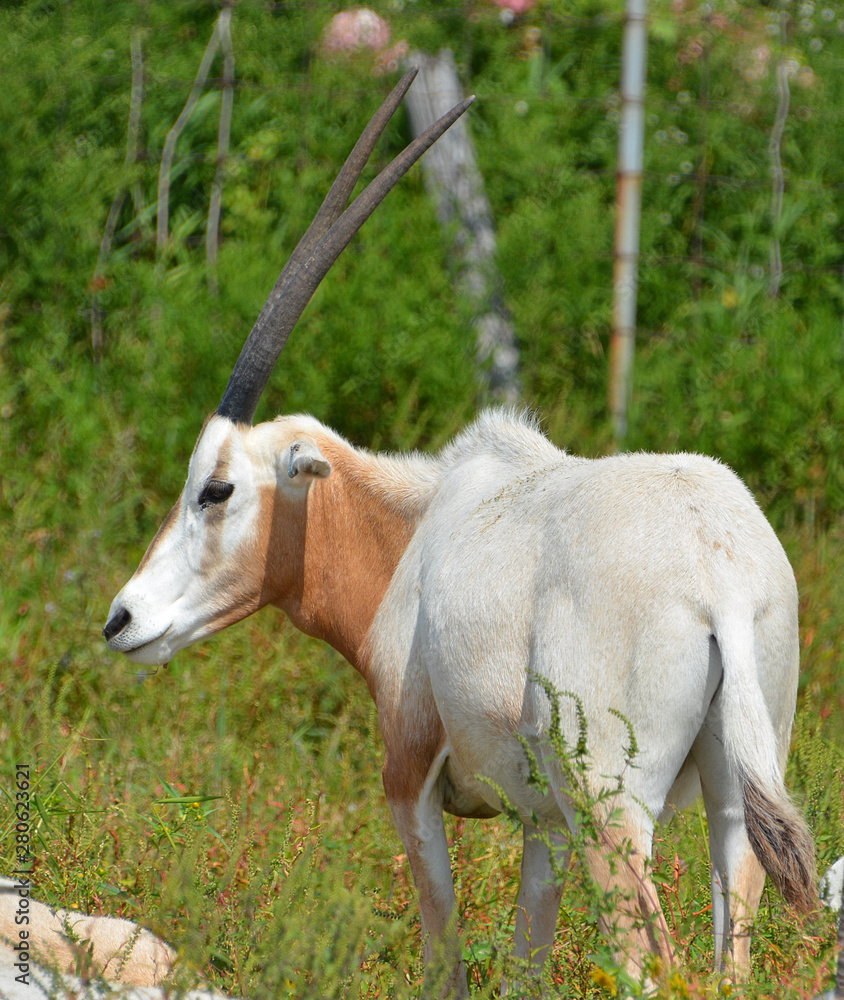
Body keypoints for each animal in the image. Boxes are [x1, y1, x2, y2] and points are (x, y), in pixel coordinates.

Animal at [104, 71, 817, 995]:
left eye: (216, 488)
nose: (122, 619)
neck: (415, 530)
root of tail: (718, 572)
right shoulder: (546, 826)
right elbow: (524, 965)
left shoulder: (411, 780)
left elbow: (446, 955)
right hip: (734, 807)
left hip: (616, 816)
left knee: (653, 963)